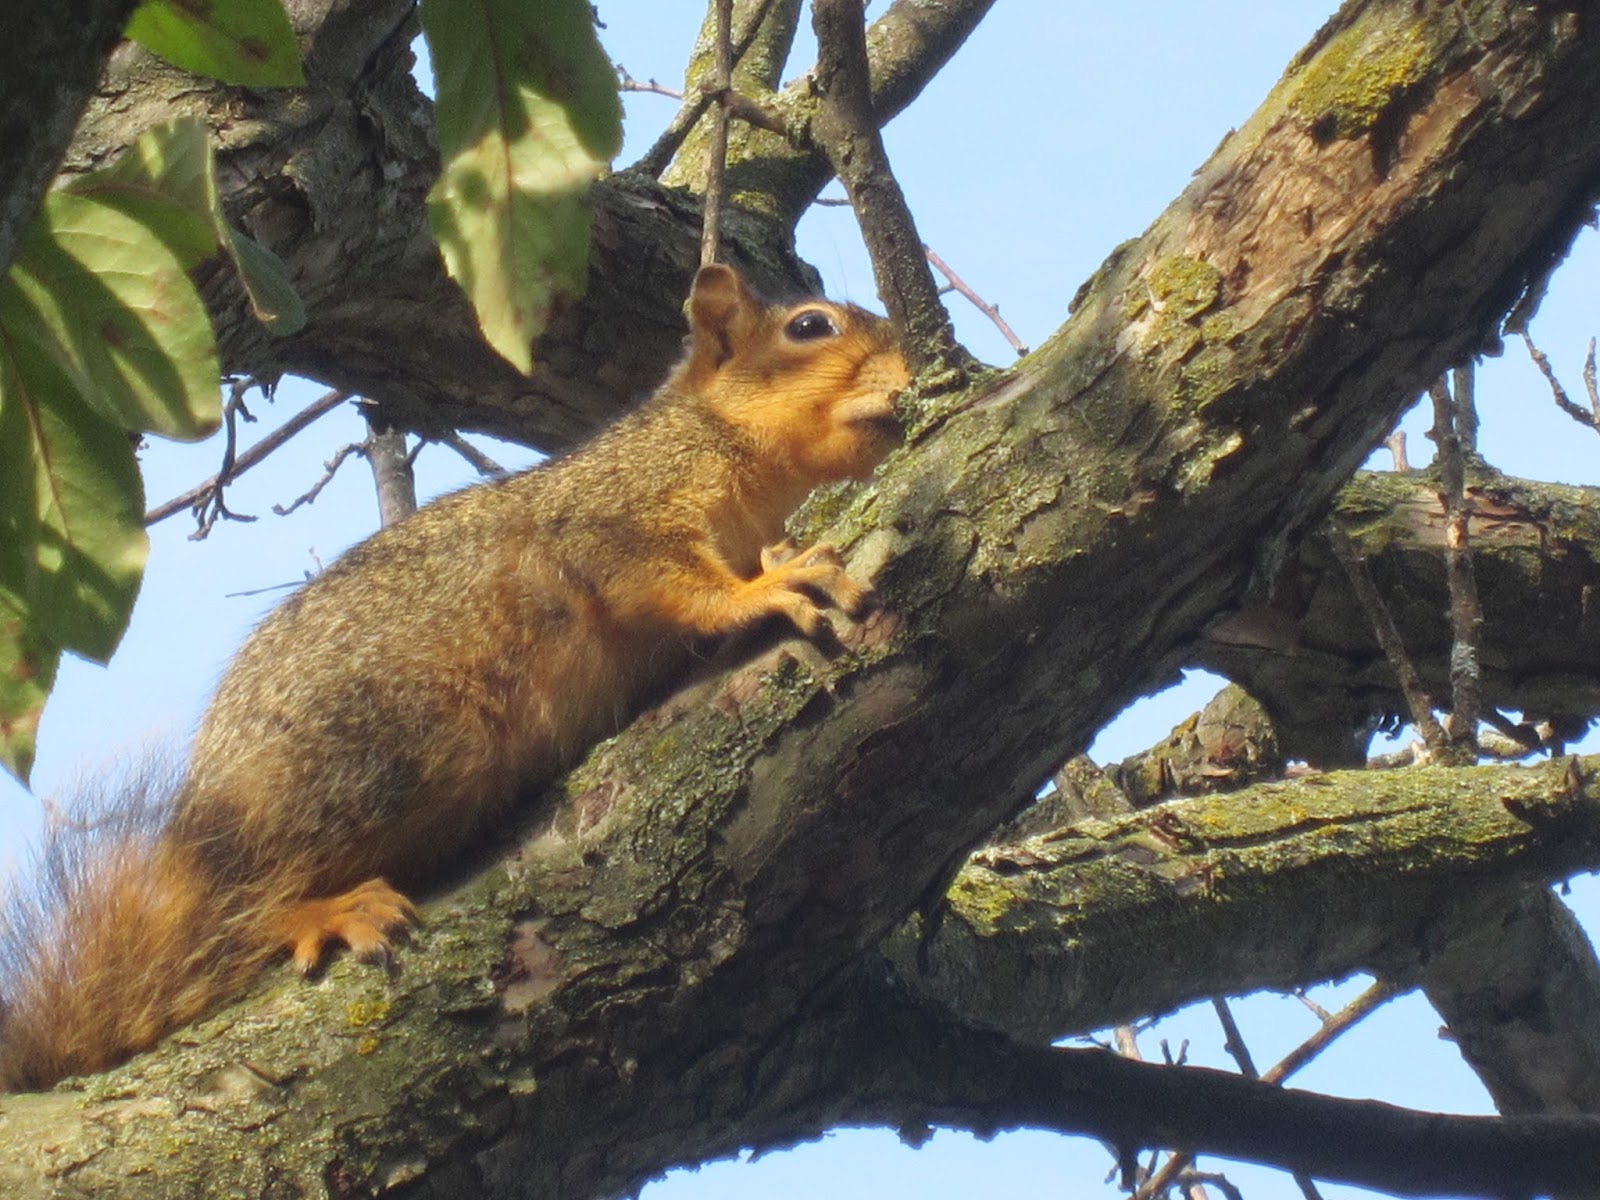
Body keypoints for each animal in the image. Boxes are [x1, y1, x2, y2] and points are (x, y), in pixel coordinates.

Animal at [0, 263, 910, 1092]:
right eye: (810, 327)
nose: (912, 370)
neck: (725, 442)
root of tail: (203, 843)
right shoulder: (614, 519)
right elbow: (674, 583)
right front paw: (772, 586)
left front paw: (783, 556)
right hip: (390, 749)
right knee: (242, 913)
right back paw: (318, 909)